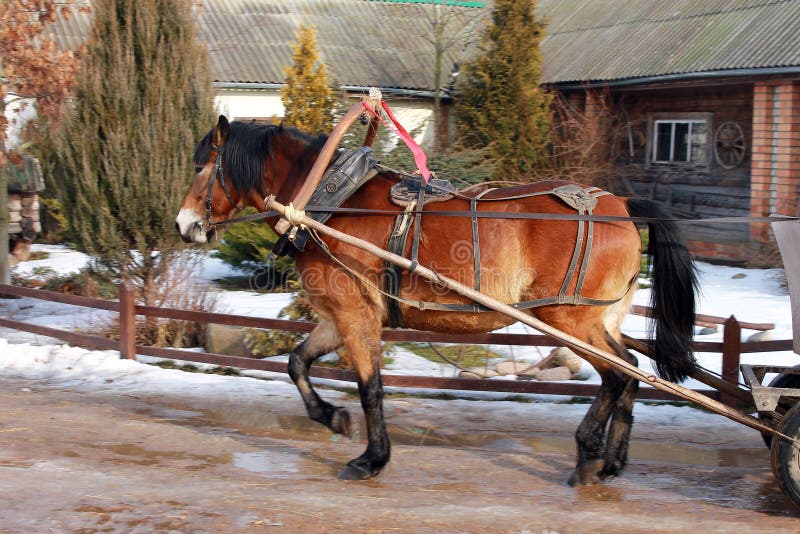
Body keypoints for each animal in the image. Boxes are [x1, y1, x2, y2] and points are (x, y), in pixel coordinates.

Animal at [176, 115, 697, 484]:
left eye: (202, 167)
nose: (184, 225)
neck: (327, 201)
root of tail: (622, 205)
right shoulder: (338, 316)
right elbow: (297, 363)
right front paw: (333, 418)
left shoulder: (355, 314)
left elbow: (370, 387)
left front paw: (372, 458)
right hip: (599, 319)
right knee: (631, 373)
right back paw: (611, 463)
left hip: (570, 320)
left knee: (617, 377)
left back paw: (588, 453)